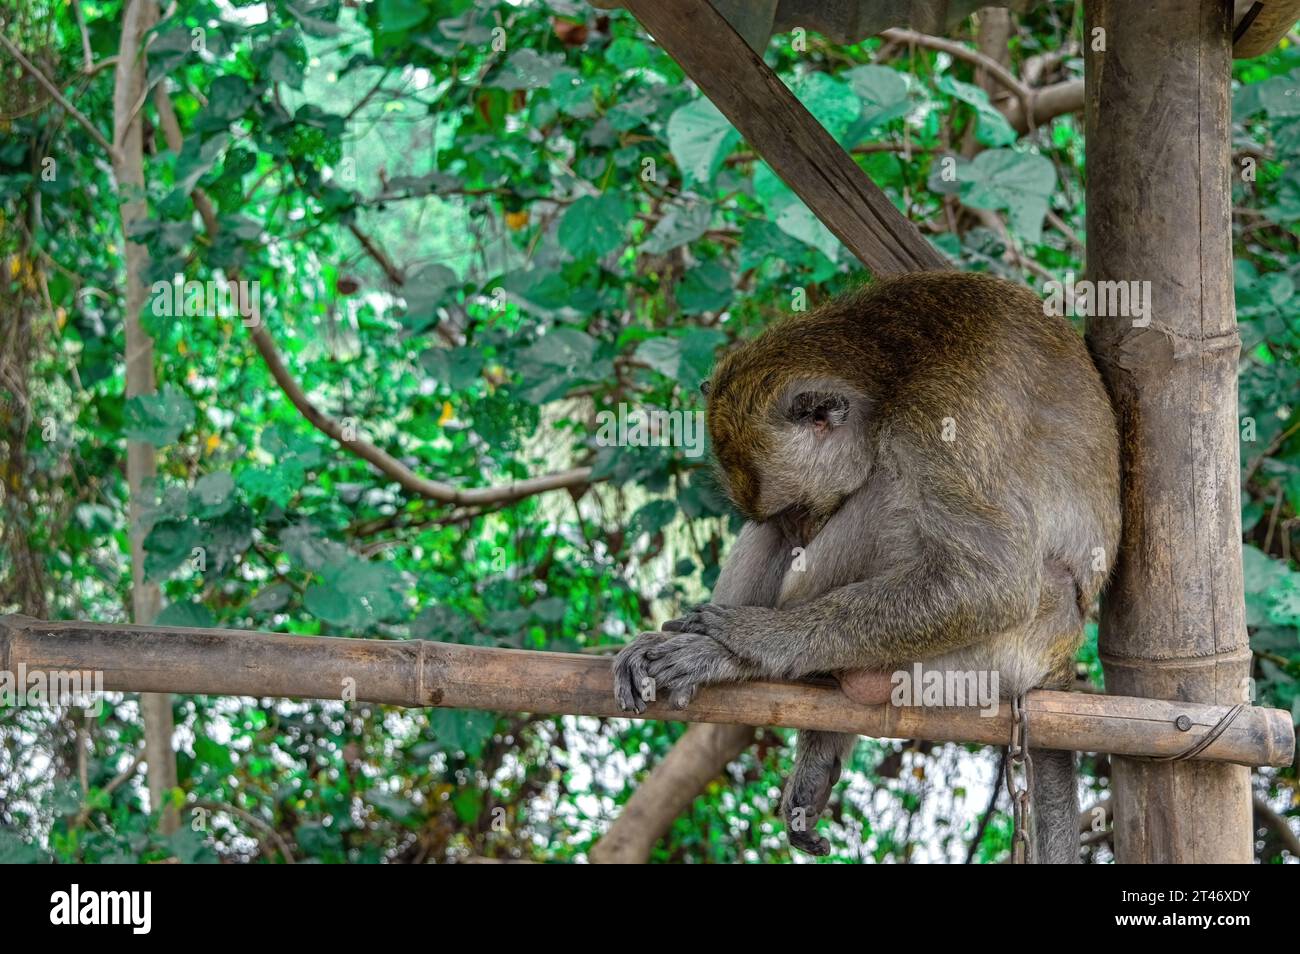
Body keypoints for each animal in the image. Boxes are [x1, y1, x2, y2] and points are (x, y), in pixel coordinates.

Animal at [612, 270, 1121, 862]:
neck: (887, 368)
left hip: (991, 658)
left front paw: (755, 640)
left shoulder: (940, 415)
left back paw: (731, 660)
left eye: (795, 509)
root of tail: (1057, 664)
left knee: (890, 493)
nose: (798, 536)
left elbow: (993, 580)